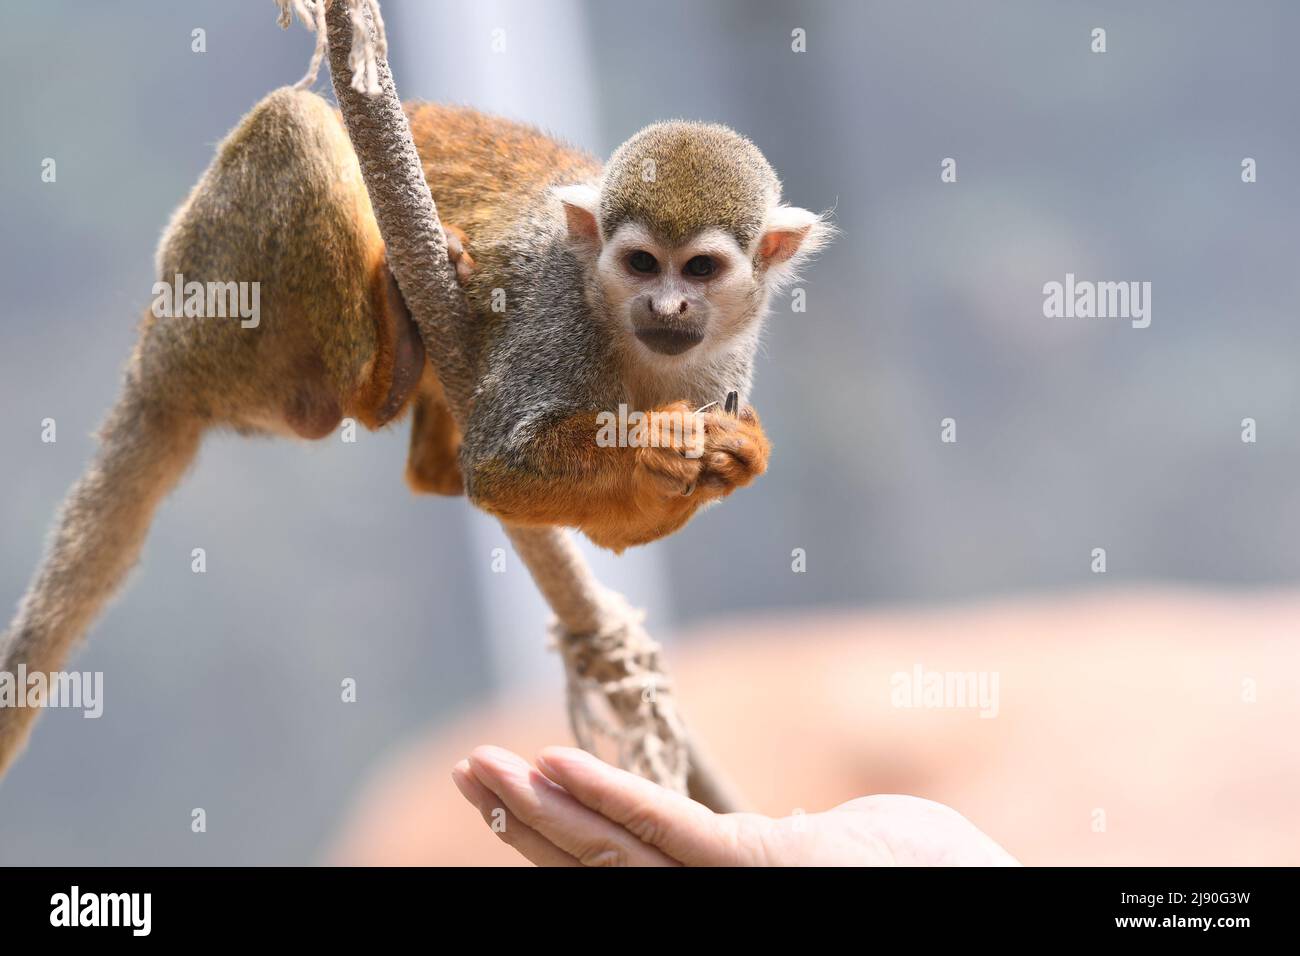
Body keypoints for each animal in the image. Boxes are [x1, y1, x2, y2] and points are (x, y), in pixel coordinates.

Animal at [0, 88, 830, 777]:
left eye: (700, 270)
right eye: (641, 263)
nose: (667, 308)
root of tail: (157, 349)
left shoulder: (724, 362)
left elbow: (615, 532)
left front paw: (732, 459)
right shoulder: (558, 314)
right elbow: (501, 466)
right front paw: (655, 443)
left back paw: (428, 449)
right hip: (219, 297)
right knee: (294, 121)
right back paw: (386, 368)